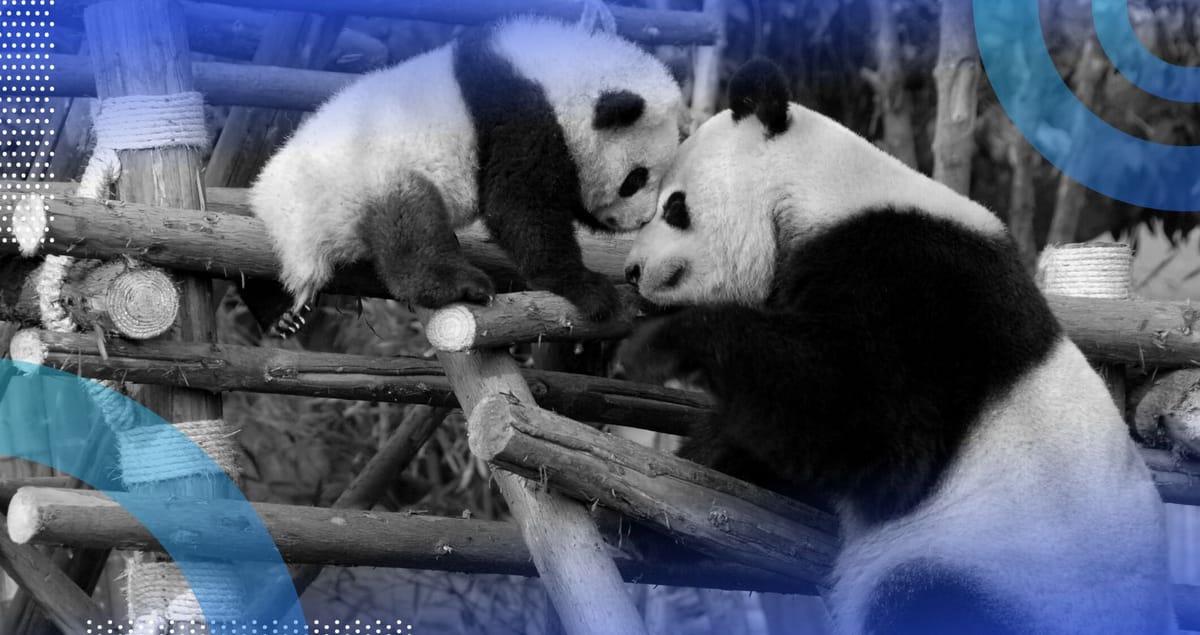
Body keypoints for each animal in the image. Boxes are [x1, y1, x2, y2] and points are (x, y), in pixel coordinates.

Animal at [248, 18, 683, 333]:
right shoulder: (521, 117)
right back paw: (459, 285)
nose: (639, 220)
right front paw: (588, 289)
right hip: (363, 177)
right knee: (410, 226)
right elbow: (519, 208)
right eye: (636, 178)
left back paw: (279, 313)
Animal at [617, 59, 1175, 635]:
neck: (821, 191)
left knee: (922, 593)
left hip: (1000, 572)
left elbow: (870, 428)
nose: (632, 270)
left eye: (675, 207)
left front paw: (663, 343)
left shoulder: (914, 288)